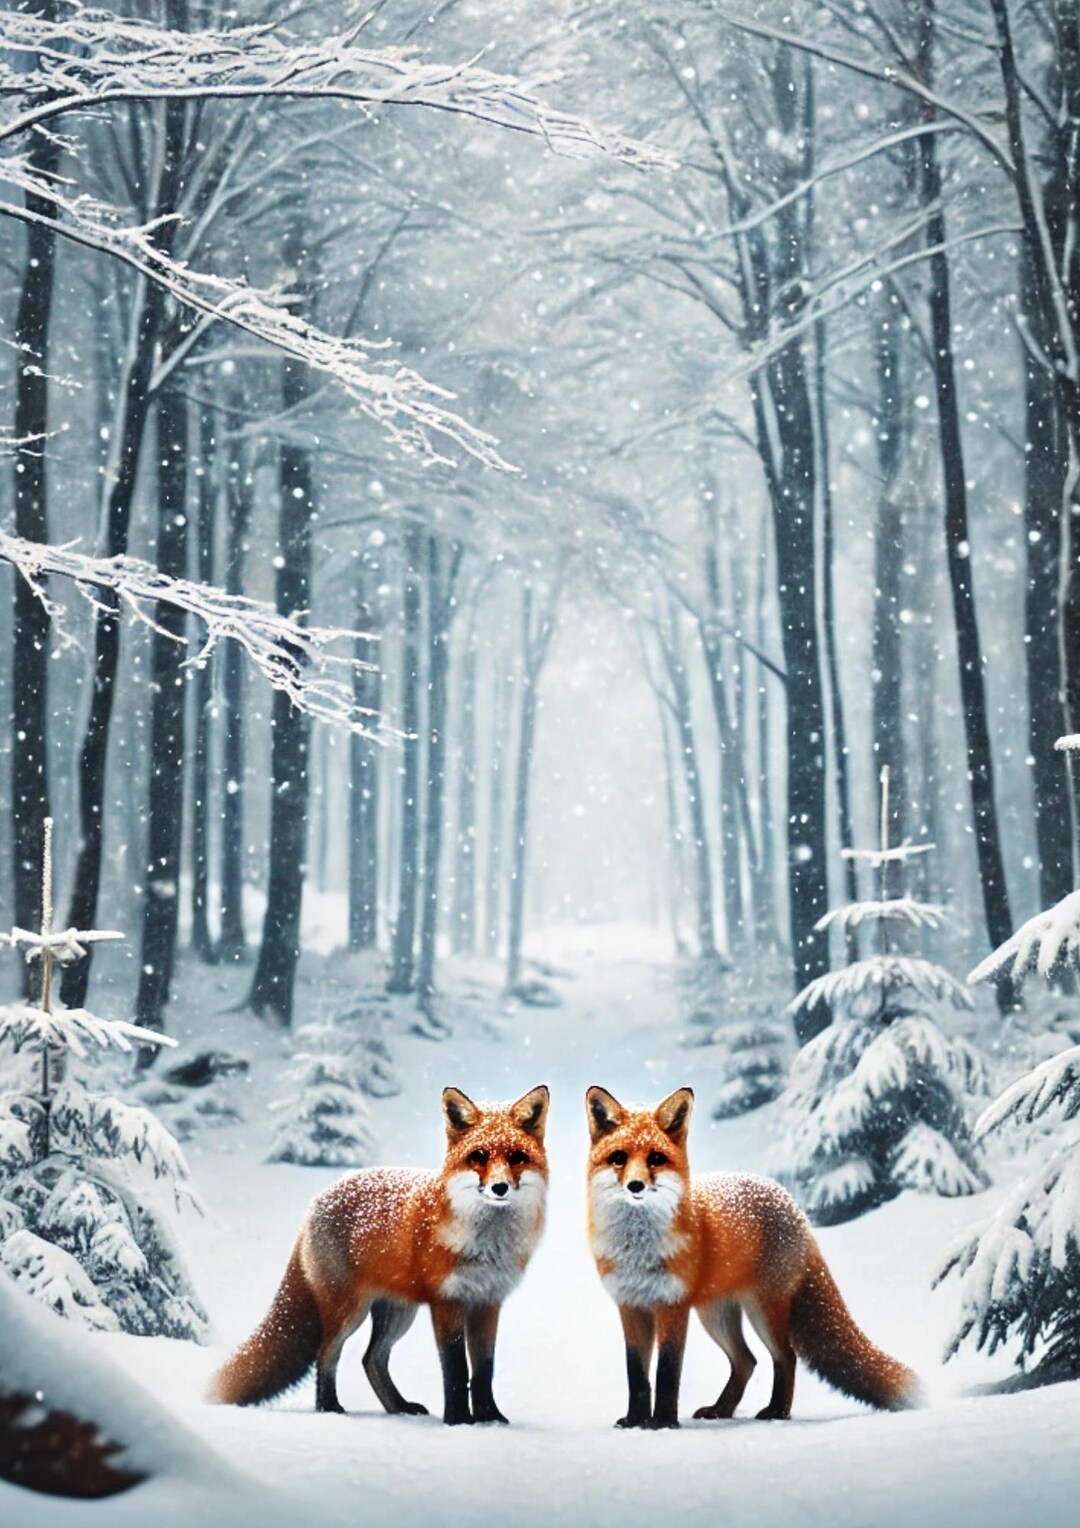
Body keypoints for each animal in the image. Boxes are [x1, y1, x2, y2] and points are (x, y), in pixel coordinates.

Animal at [208, 1084, 549, 1426]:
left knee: (372, 1359)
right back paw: (330, 1408)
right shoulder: (447, 1300)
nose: (500, 1187)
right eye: (479, 1156)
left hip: (397, 1311)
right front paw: (457, 1420)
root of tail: (319, 1198)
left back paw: (398, 1407)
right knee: (326, 1354)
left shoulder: (488, 1301)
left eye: (517, 1158)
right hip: (350, 1309)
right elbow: (455, 1369)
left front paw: (490, 1418)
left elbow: (483, 1369)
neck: (487, 1244)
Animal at [585, 1084, 921, 1428]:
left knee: (785, 1356)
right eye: (618, 1158)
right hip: (716, 1314)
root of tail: (791, 1203)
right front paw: (636, 1420)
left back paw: (777, 1412)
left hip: (762, 1309)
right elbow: (636, 1375)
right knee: (746, 1360)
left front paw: (663, 1423)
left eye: (655, 1158)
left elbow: (667, 1372)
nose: (635, 1185)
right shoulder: (630, 1305)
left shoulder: (672, 1305)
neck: (638, 1249)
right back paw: (721, 1409)